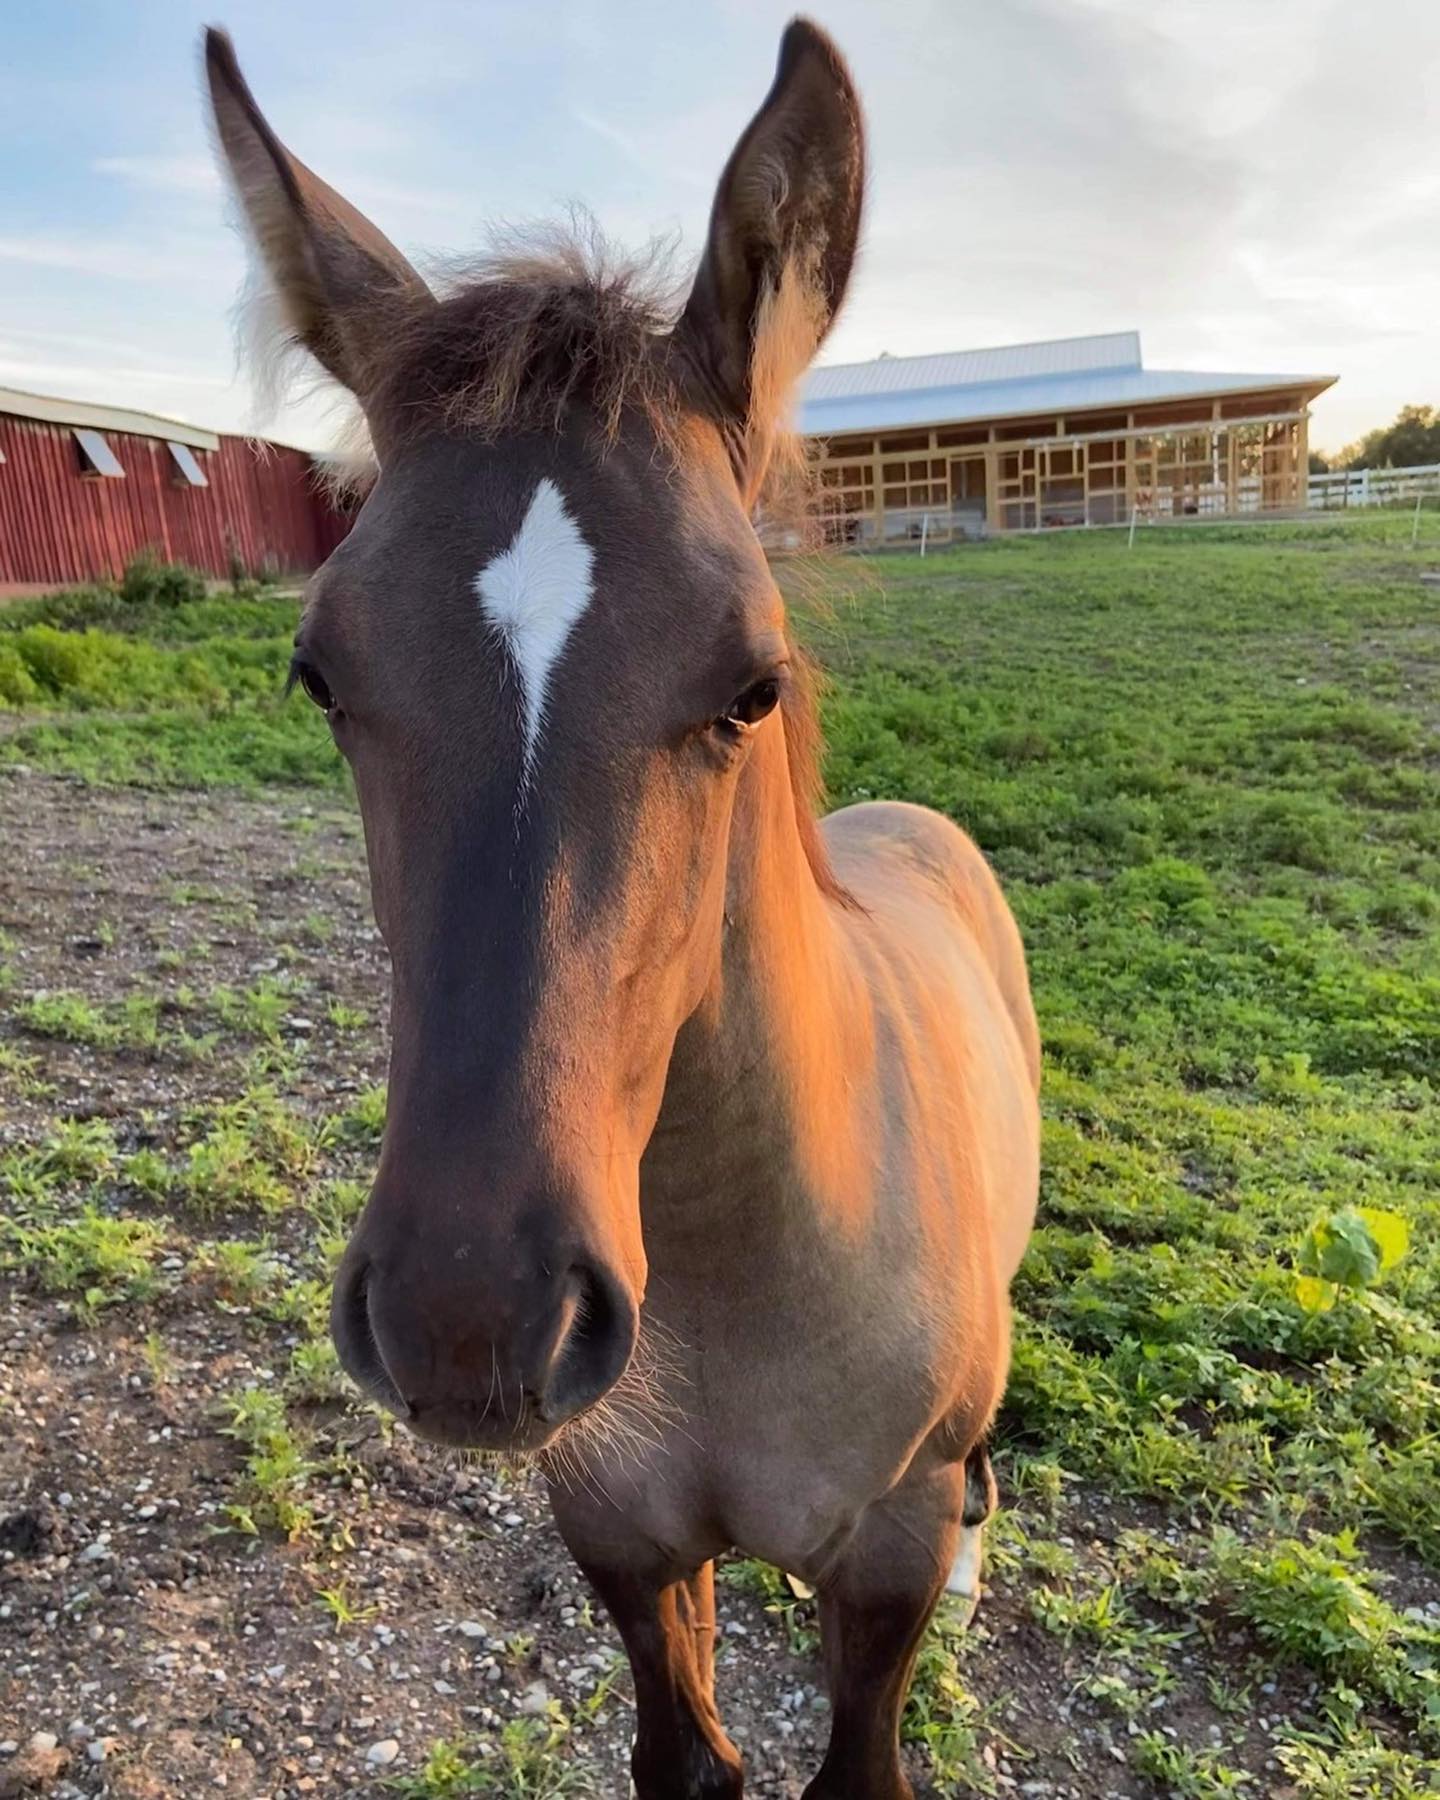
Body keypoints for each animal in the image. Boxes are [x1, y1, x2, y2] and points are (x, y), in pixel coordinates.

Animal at [205, 21, 1039, 1797]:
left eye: (750, 684)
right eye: (319, 674)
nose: (472, 1322)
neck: (741, 1279)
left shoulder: (882, 1564)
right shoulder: (624, 1540)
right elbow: (687, 1752)